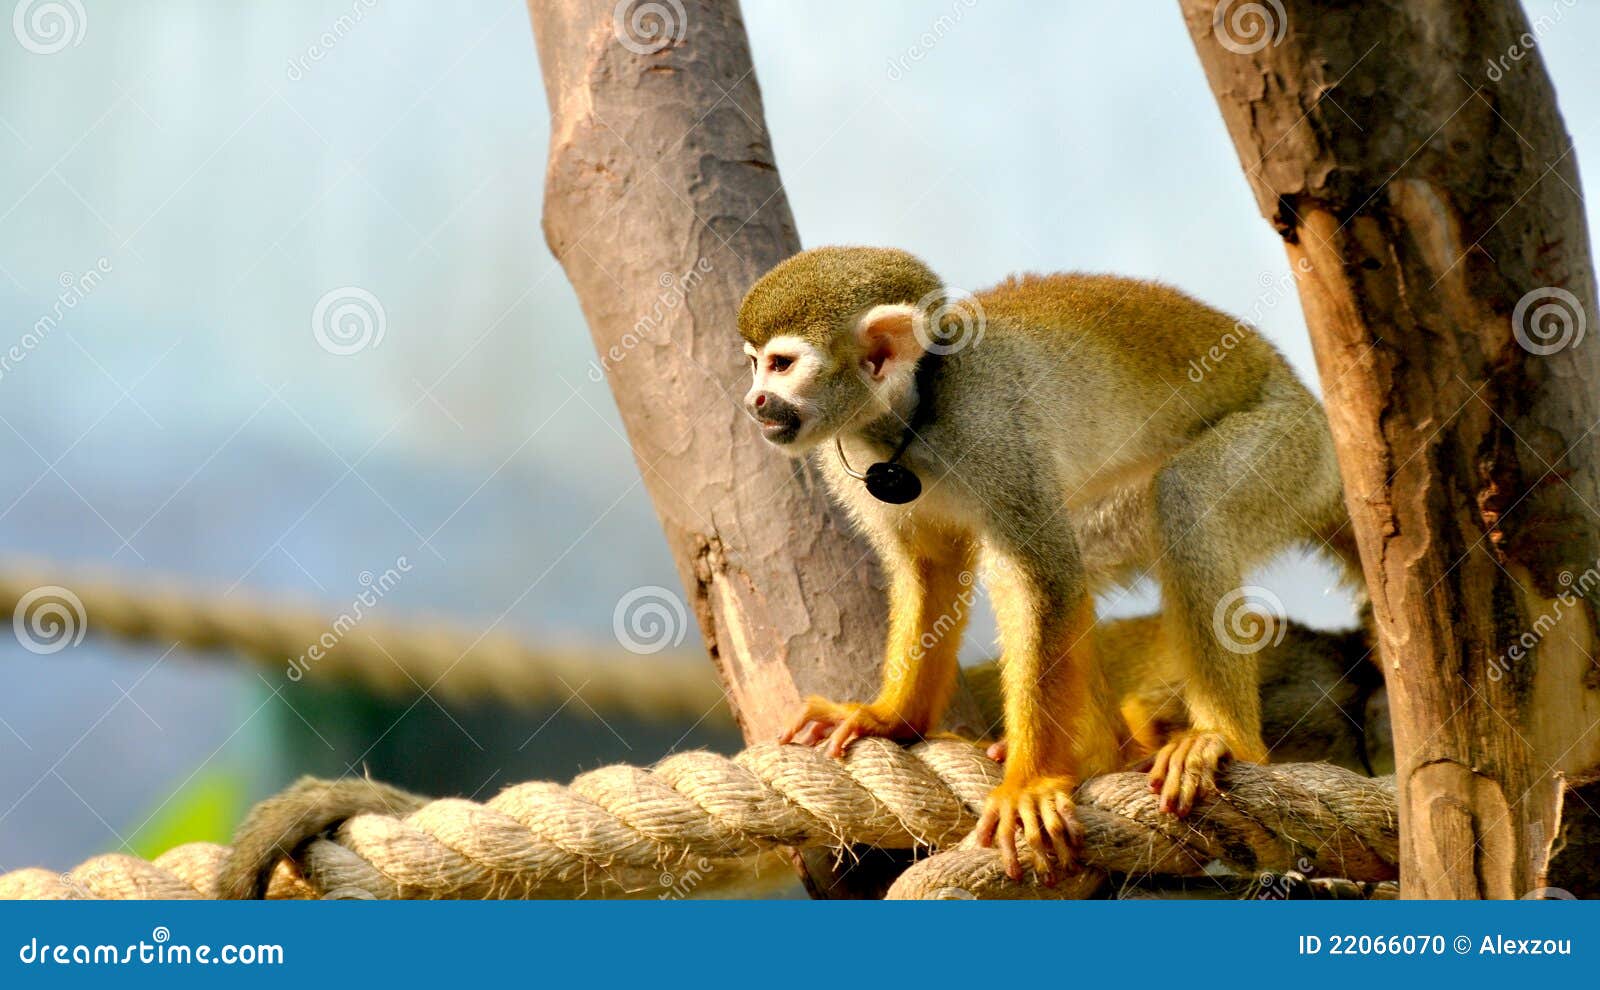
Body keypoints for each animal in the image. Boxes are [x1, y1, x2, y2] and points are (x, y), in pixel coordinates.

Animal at [739, 246, 1361, 880]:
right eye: (755, 365)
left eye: (782, 365)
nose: (754, 402)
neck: (911, 412)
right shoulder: (855, 460)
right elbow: (932, 566)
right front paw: (891, 718)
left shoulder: (989, 429)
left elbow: (1046, 581)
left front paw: (1029, 785)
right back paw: (1103, 753)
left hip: (1287, 447)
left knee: (1182, 497)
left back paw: (1222, 740)